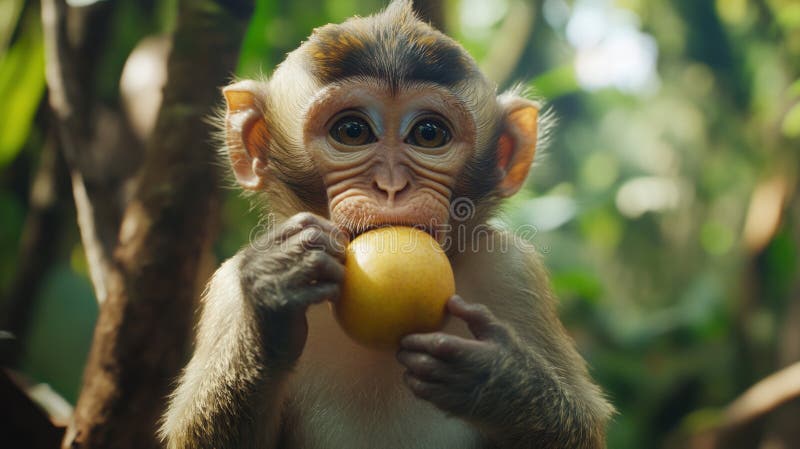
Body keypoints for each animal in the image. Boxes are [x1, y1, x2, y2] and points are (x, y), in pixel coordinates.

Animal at [160, 1, 613, 448]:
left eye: (428, 133)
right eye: (352, 131)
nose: (392, 186)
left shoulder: (513, 269)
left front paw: (497, 378)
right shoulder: (228, 287)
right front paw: (273, 294)